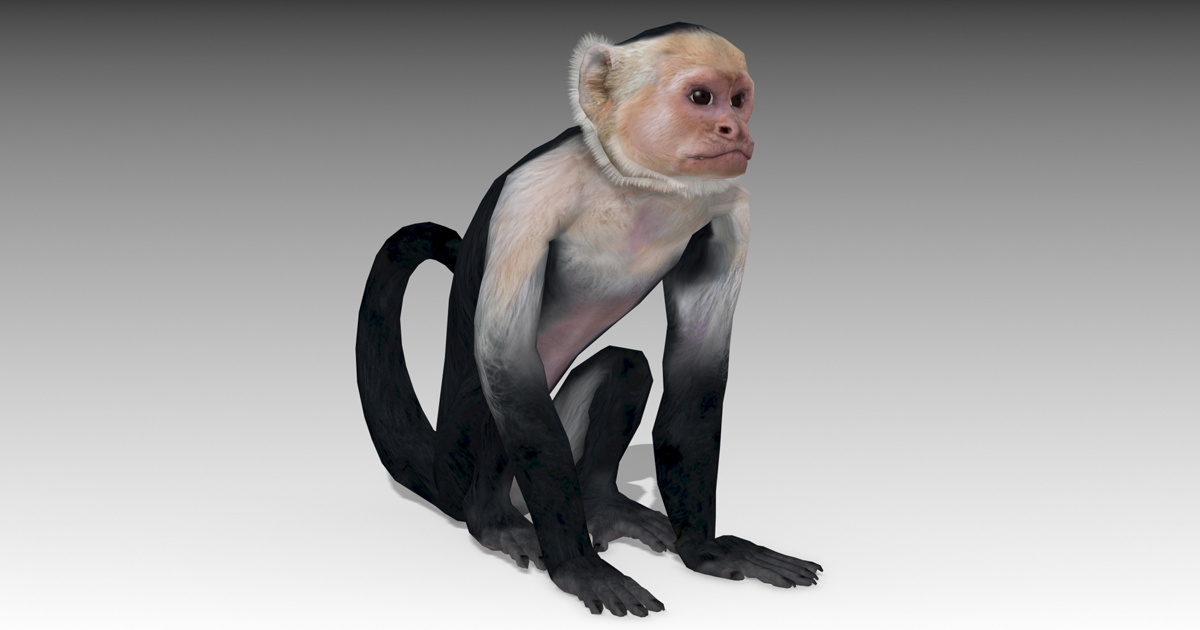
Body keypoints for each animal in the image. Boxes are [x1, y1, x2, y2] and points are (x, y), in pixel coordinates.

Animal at [356, 23, 822, 616]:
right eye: (702, 98)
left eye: (739, 100)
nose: (734, 128)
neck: (639, 185)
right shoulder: (529, 198)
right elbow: (509, 370)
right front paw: (576, 568)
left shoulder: (728, 207)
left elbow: (695, 376)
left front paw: (707, 550)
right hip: (469, 467)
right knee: (497, 404)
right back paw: (493, 521)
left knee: (628, 365)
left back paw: (603, 503)